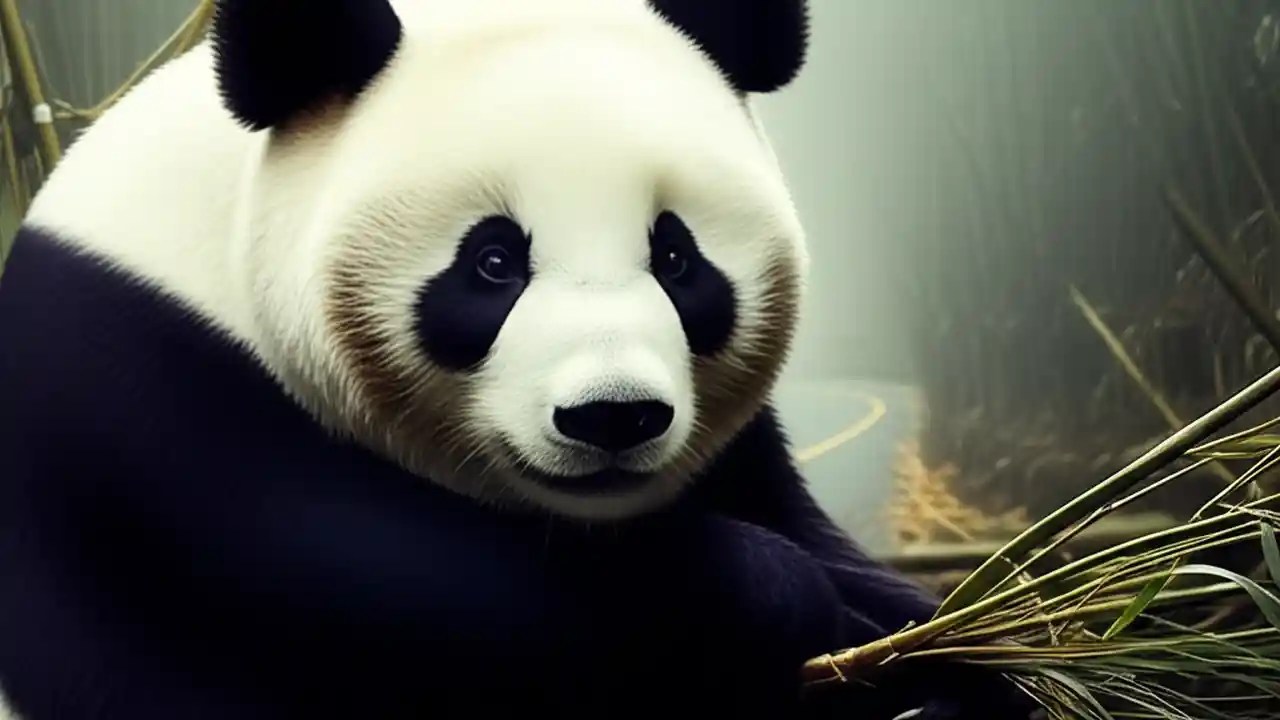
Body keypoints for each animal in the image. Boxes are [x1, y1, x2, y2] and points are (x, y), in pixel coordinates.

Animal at [0, 0, 1037, 718]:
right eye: (492, 263)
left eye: (676, 257)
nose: (614, 415)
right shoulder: (155, 390)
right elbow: (422, 594)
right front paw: (781, 602)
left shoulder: (733, 453)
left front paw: (941, 662)